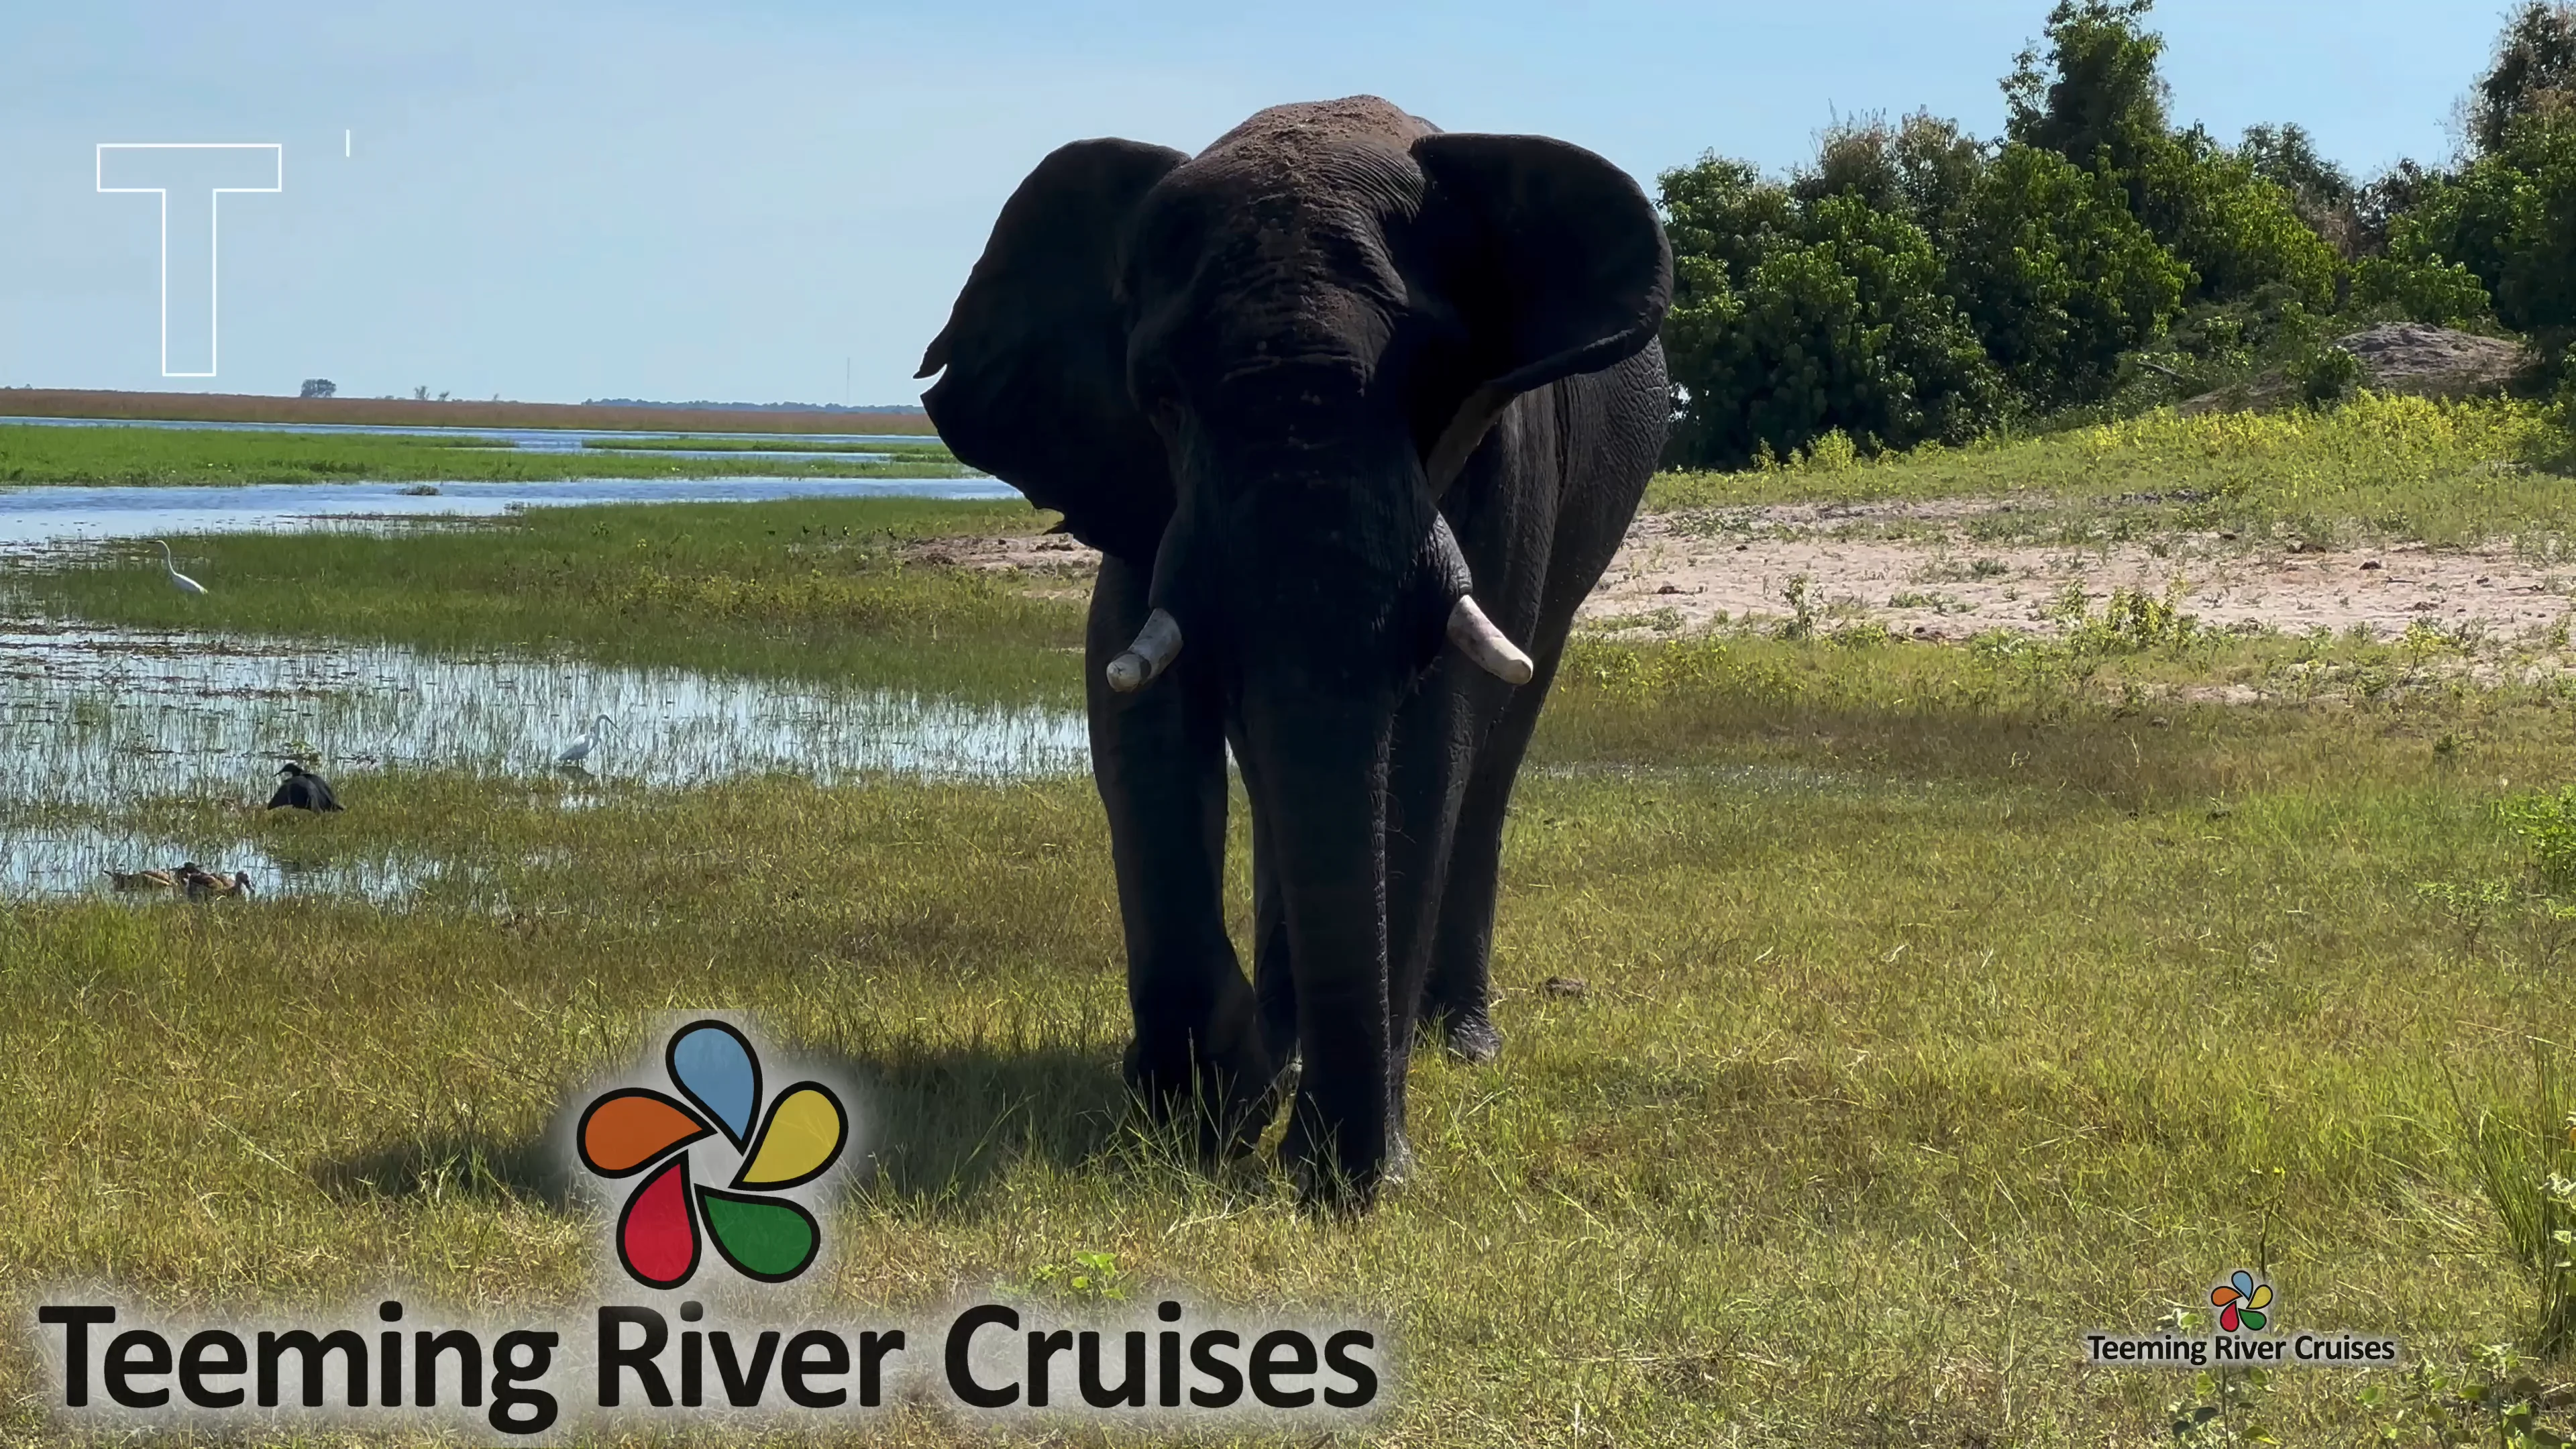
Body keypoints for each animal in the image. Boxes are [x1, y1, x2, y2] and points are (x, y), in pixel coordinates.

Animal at [917, 95, 1671, 1205]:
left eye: (1434, 385)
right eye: (1162, 395)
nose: (1350, 1181)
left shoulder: (1502, 458)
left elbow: (1431, 739)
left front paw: (1335, 1165)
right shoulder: (1137, 478)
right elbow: (1136, 703)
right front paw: (1211, 1102)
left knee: (1495, 751)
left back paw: (1457, 1040)